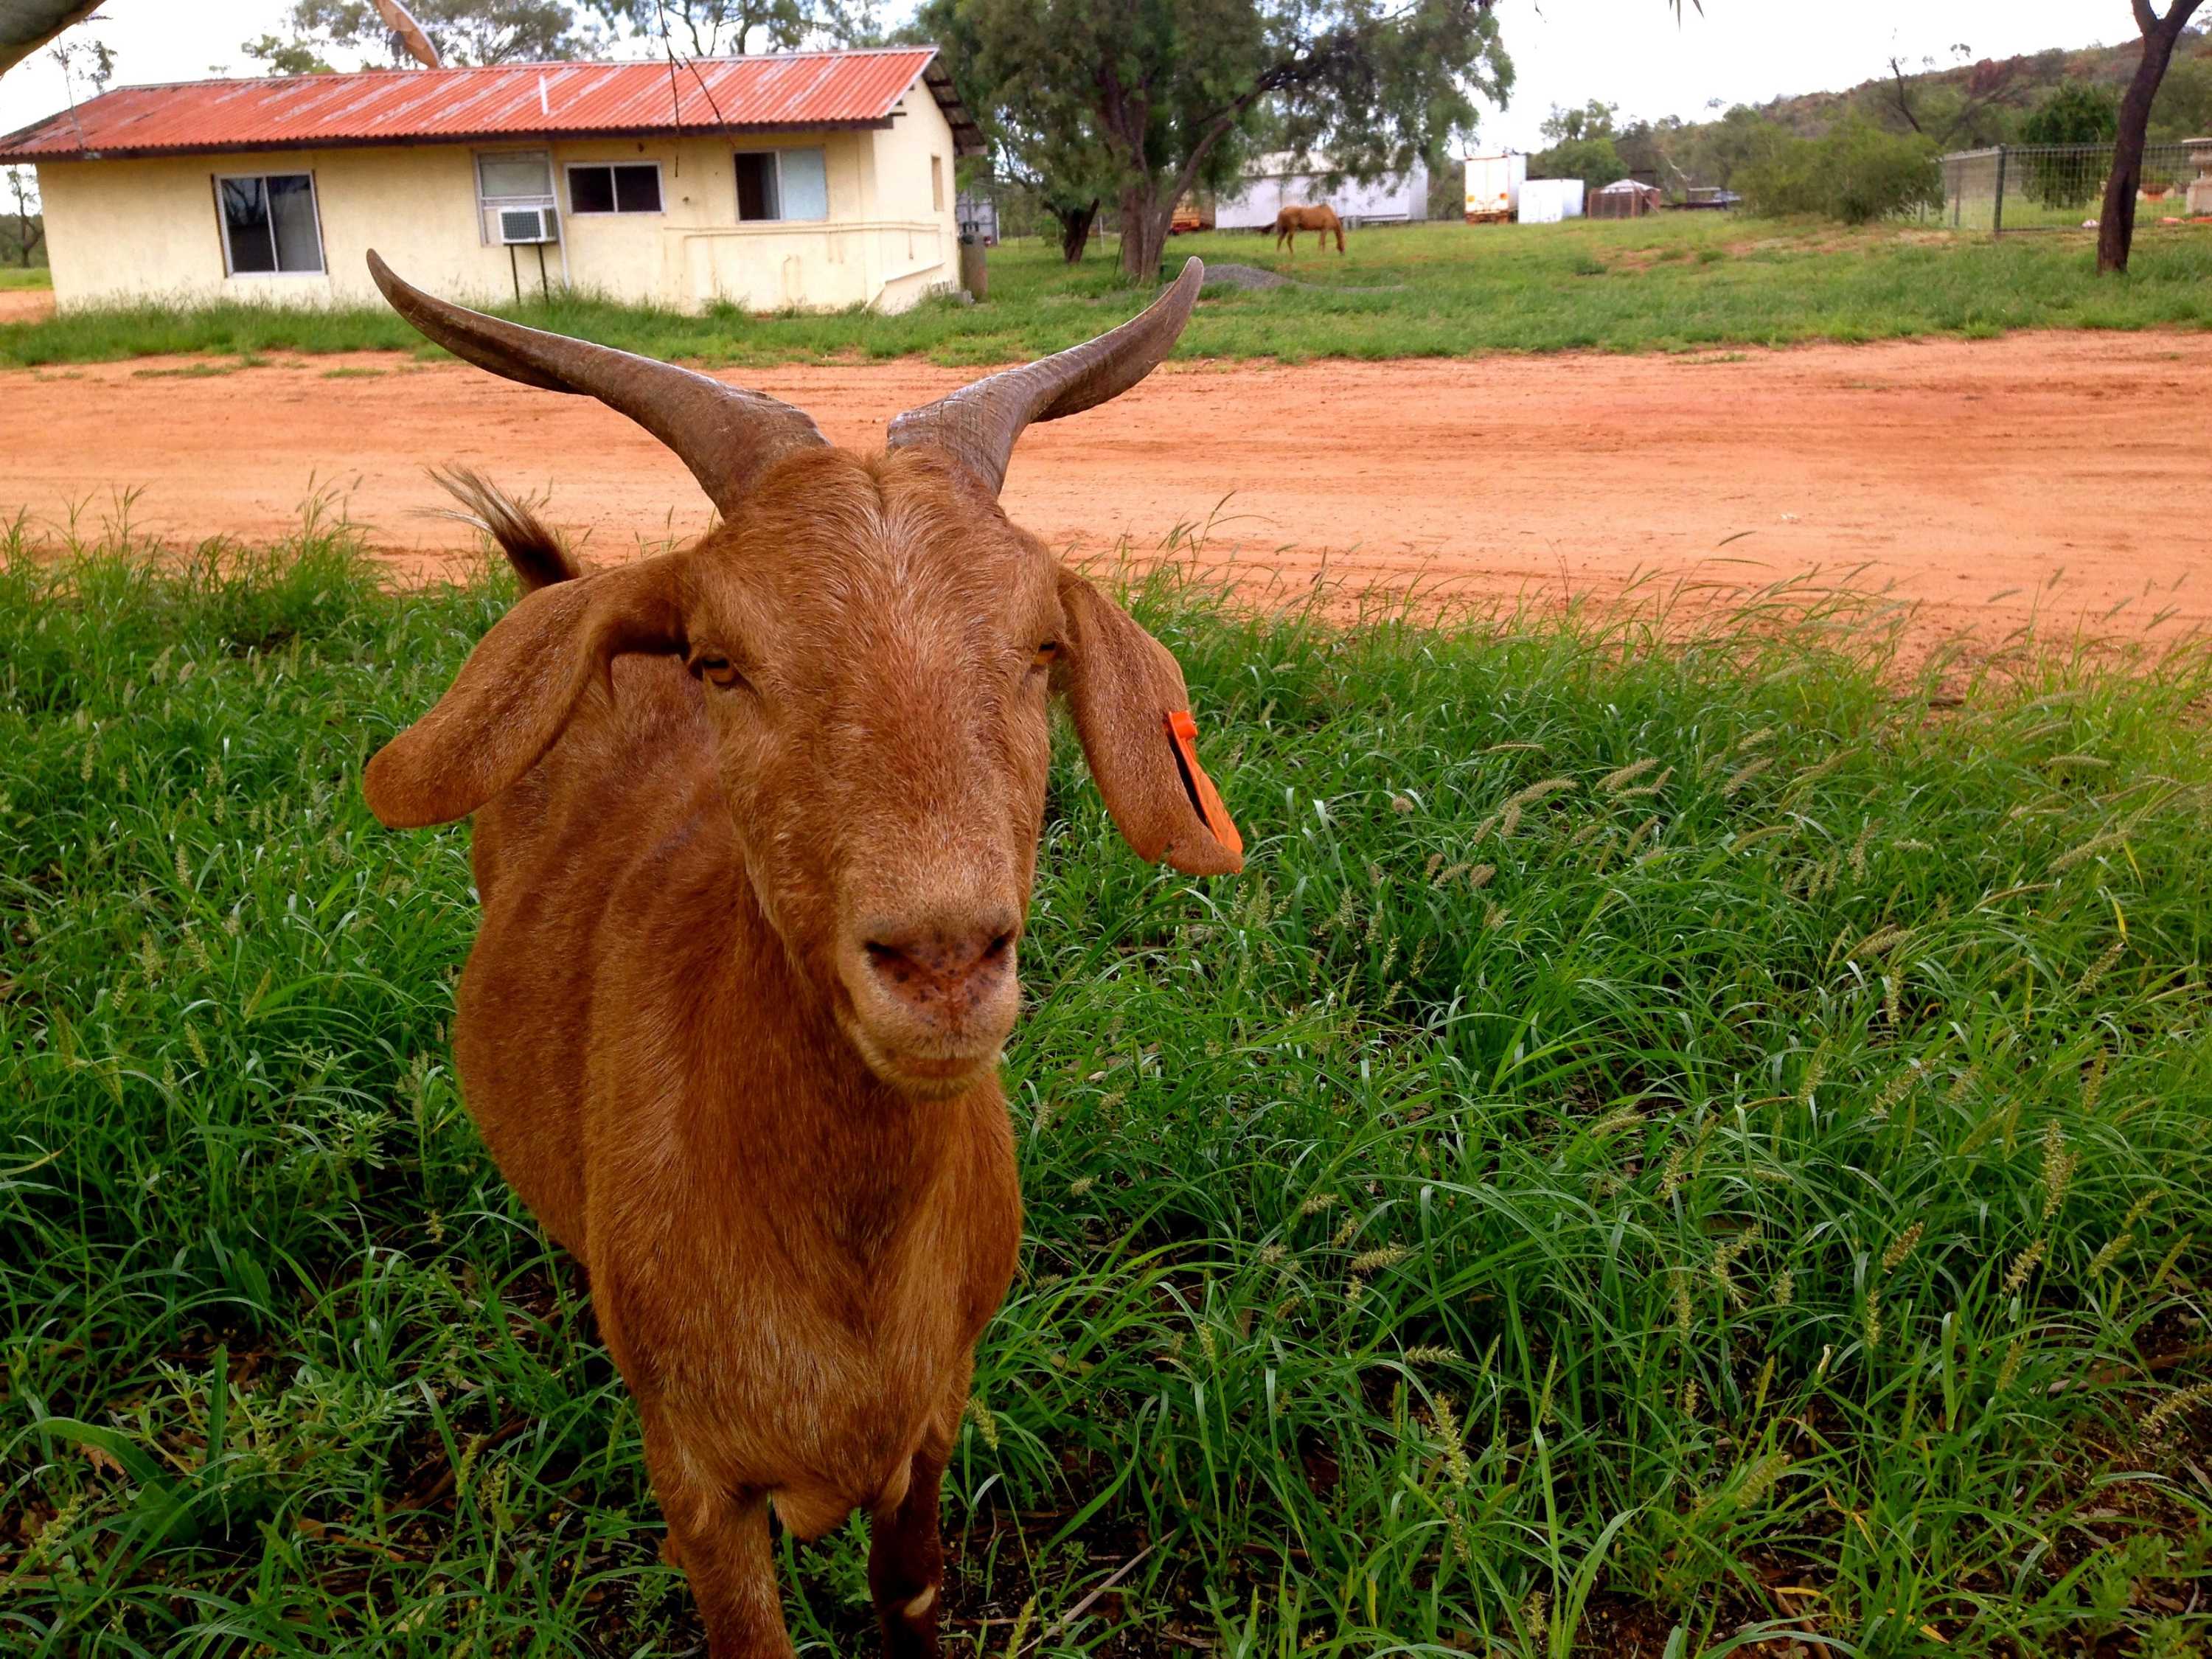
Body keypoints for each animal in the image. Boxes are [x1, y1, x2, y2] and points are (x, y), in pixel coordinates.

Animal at [358, 250, 1243, 1657]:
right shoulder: (697, 1480)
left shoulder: (937, 1418)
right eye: (722, 659)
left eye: (1041, 649)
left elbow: (911, 1591)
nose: (942, 958)